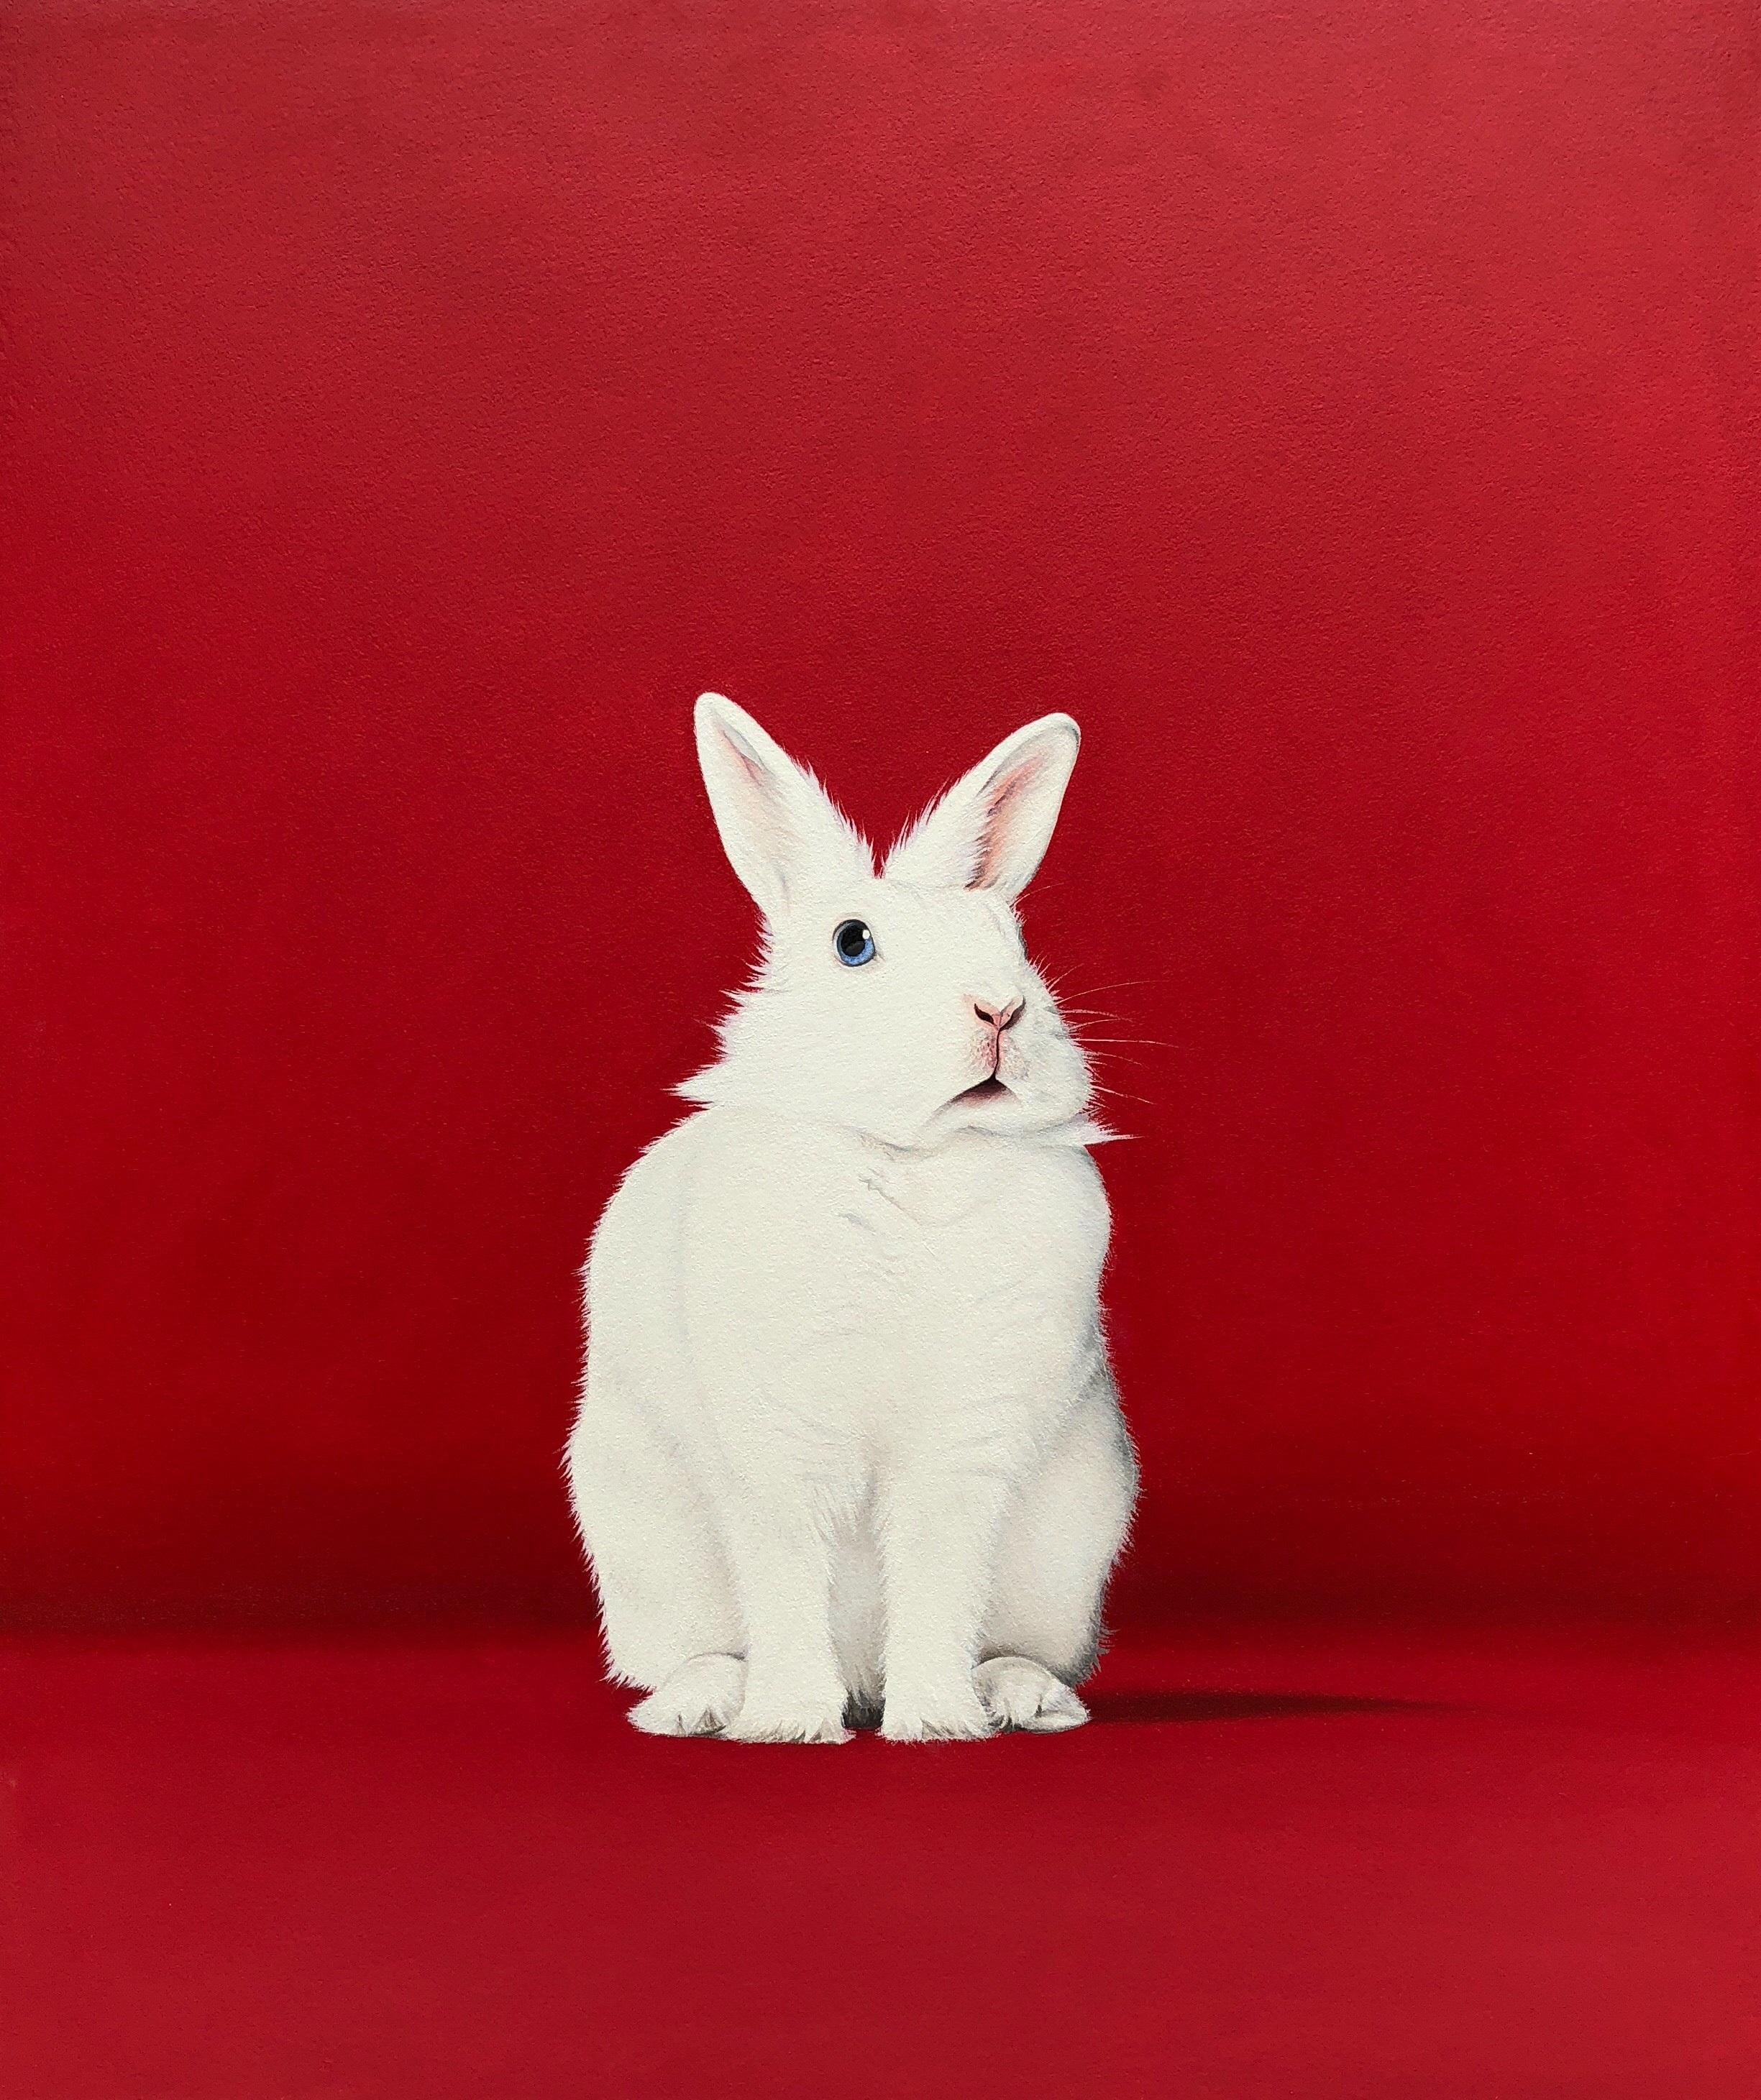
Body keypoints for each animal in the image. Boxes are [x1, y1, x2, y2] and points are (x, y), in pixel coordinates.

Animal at [566, 693, 1137, 1742]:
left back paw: (1020, 1695)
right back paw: (703, 1701)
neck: (909, 1156)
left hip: (1068, 1556)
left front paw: (936, 1721)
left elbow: (939, 1573)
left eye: (1014, 943)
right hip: (642, 1557)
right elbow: (789, 1569)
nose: (1001, 1008)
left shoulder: (963, 1442)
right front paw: (792, 1720)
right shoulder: (775, 1434)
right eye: (852, 942)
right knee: (696, 1646)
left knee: (1020, 1641)